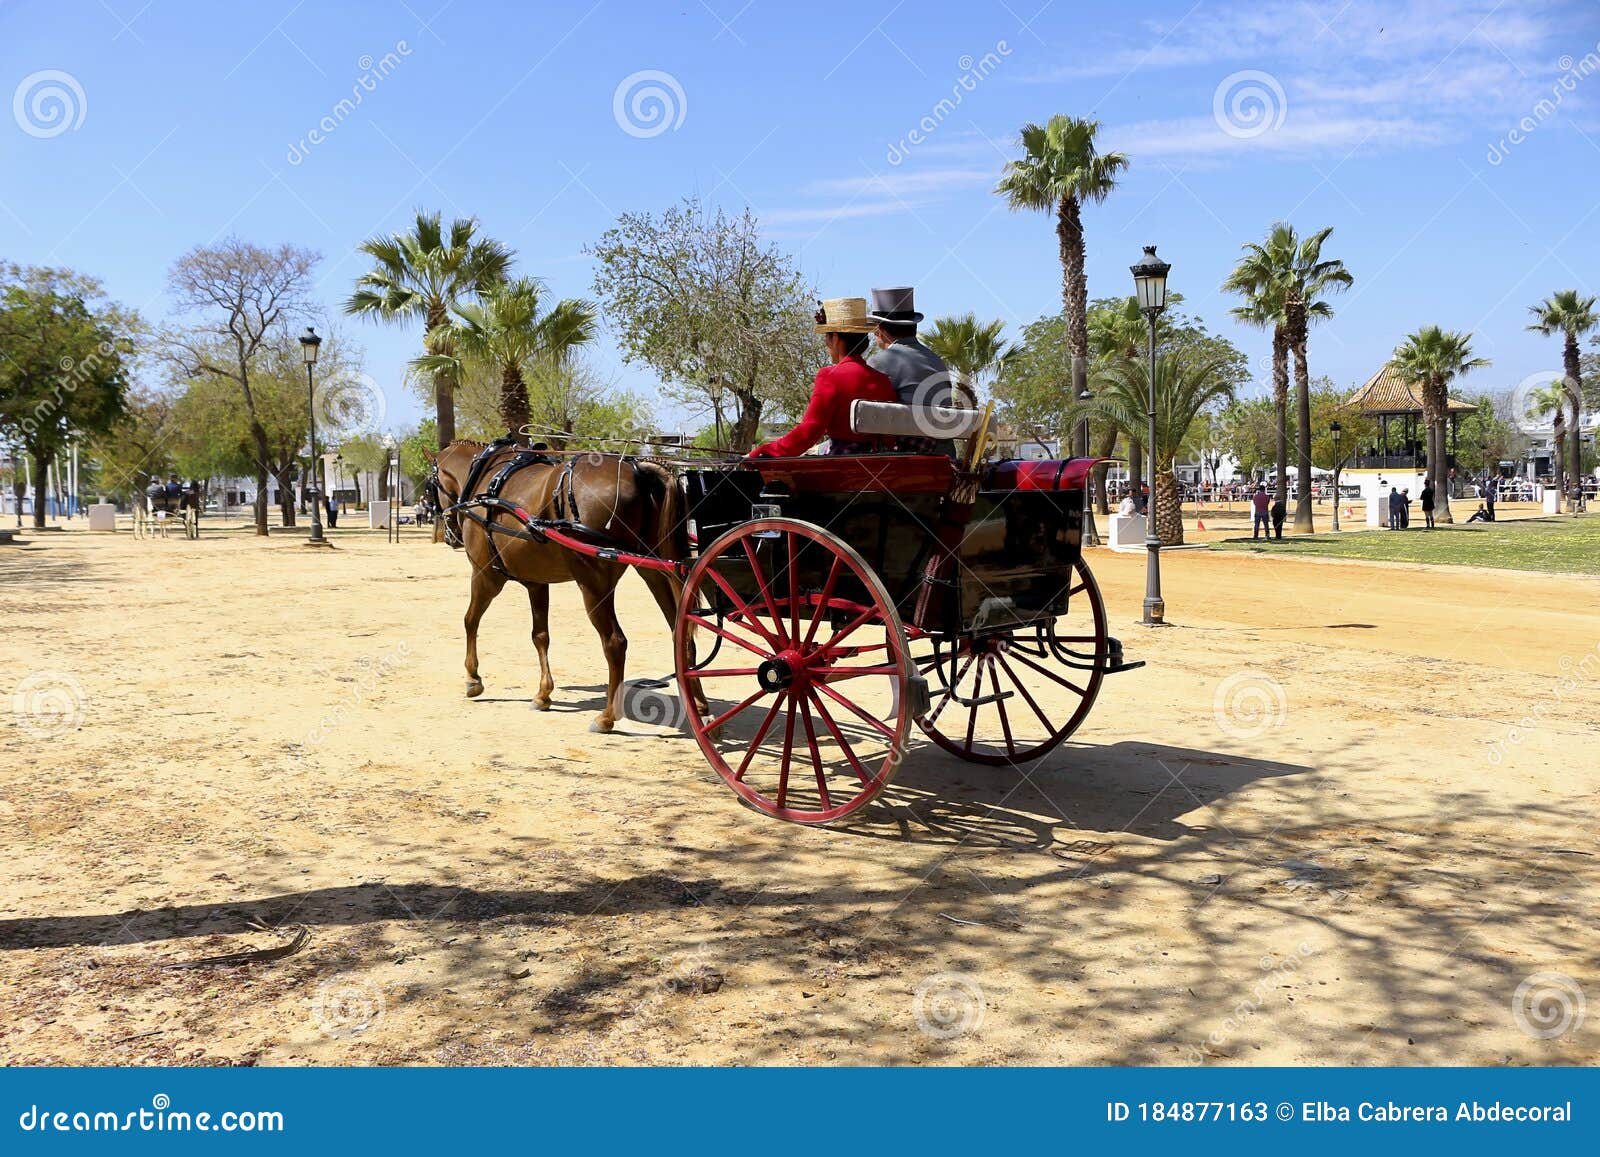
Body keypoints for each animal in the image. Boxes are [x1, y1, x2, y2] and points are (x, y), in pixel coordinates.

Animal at [427, 440, 707, 733]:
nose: (449, 535)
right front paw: (543, 694)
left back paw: (607, 717)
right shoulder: (536, 583)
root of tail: (637, 469)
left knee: (615, 643)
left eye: (430, 485)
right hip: (654, 572)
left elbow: (470, 620)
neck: (486, 476)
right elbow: (540, 636)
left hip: (593, 582)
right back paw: (697, 704)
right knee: (681, 633)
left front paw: (473, 678)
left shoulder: (485, 577)